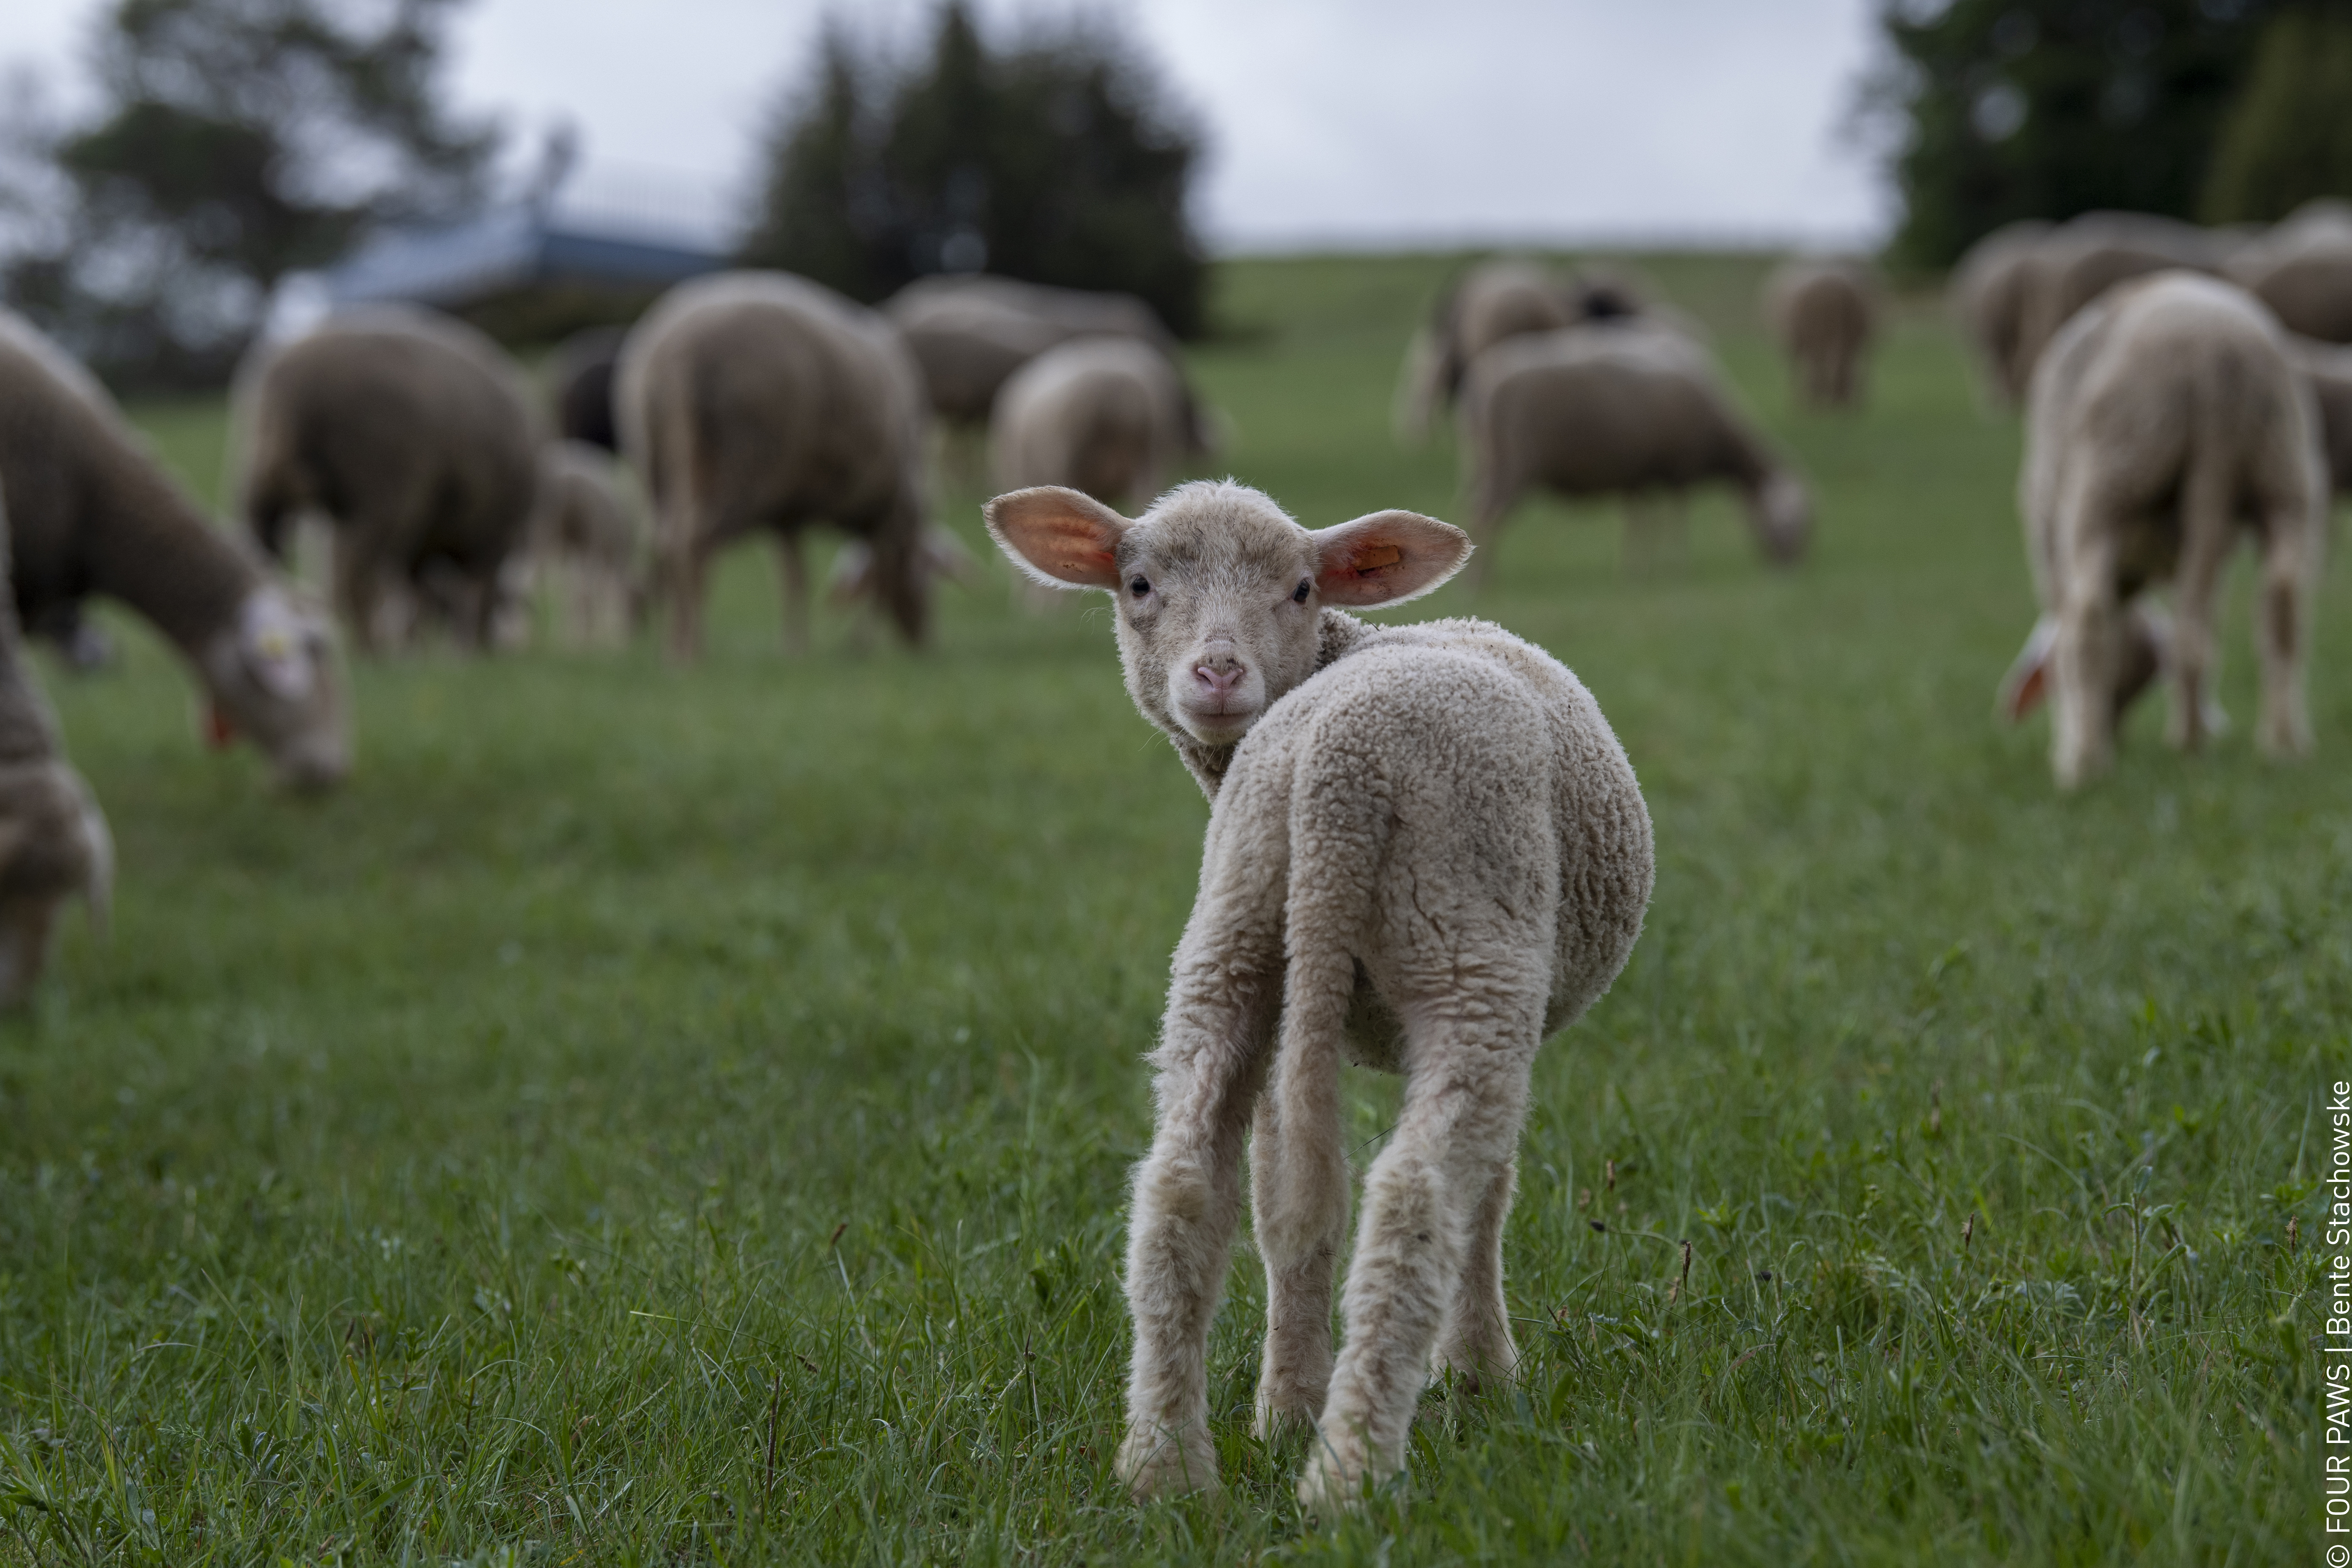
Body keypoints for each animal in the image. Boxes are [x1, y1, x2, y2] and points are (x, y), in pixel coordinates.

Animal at [235, 305, 543, 654]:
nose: (508, 647)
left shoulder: (430, 544)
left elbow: (421, 596)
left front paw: (422, 649)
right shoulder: (489, 538)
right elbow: (477, 596)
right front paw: (470, 648)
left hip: (262, 476)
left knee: (268, 558)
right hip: (383, 493)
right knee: (353, 574)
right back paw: (370, 649)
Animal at [617, 271, 934, 656]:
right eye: (927, 586)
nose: (923, 642)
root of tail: (677, 355)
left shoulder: (787, 509)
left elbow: (792, 577)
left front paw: (795, 648)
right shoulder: (882, 515)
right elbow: (871, 576)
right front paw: (863, 645)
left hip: (656, 464)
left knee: (663, 544)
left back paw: (669, 646)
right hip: (738, 462)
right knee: (691, 542)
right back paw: (691, 649)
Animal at [986, 478, 1653, 1508]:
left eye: (1302, 588)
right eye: (1138, 584)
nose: (1218, 673)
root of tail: (1335, 773)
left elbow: (1275, 1205)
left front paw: (1281, 1403)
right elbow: (1491, 1193)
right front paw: (1480, 1370)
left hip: (1236, 940)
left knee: (1182, 1186)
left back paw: (1170, 1466)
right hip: (1471, 949)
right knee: (1415, 1194)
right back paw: (1350, 1473)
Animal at [1458, 321, 1812, 579]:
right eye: (1791, 521)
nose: (1791, 570)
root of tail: (1484, 382)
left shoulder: (1638, 472)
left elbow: (1640, 522)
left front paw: (1636, 568)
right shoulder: (1679, 469)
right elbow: (1676, 520)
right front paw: (1678, 565)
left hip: (1488, 461)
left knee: (1479, 510)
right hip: (1514, 462)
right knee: (1488, 515)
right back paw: (1479, 581)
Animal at [1998, 272, 2324, 789]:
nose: (2115, 731)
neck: (2130, 590)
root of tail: (2216, 359)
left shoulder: (2049, 548)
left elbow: (2065, 641)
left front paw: (2069, 743)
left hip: (2115, 465)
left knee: (2088, 615)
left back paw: (2085, 765)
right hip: (2282, 463)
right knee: (2281, 604)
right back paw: (2274, 745)